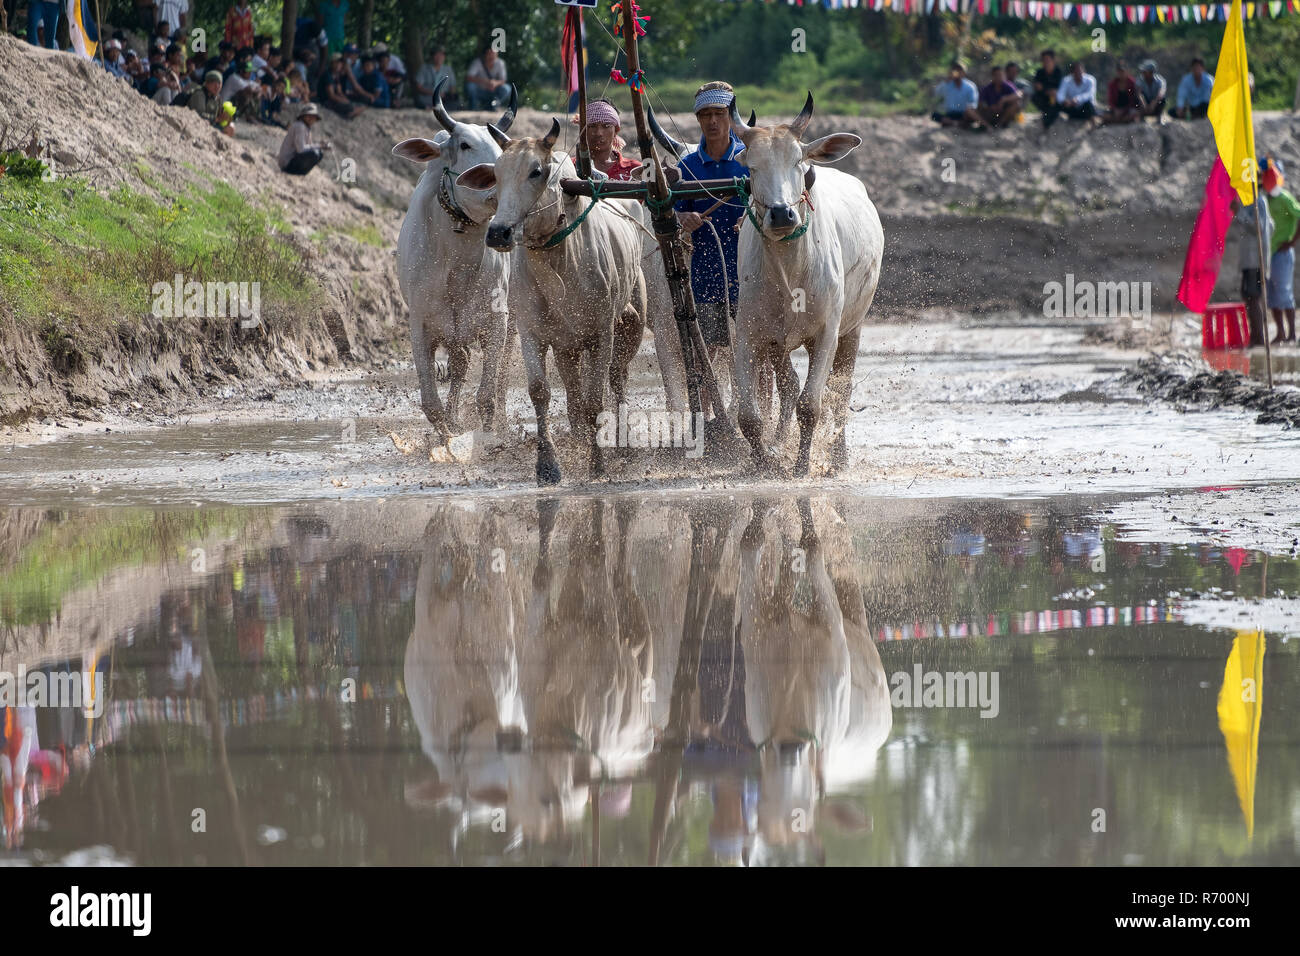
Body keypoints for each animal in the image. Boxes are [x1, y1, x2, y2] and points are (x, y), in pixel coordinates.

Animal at [392, 79, 517, 442]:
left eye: (501, 149)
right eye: (464, 144)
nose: (498, 184)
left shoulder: (497, 321)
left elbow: (487, 395)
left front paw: (490, 437)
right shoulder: (420, 325)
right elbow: (430, 403)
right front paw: (446, 435)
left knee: (500, 378)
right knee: (459, 365)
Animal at [457, 118, 647, 486]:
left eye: (536, 171)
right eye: (497, 174)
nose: (498, 232)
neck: (558, 260)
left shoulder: (601, 334)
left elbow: (594, 401)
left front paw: (597, 463)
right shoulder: (533, 333)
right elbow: (541, 393)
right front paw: (547, 465)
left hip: (630, 325)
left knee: (617, 379)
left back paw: (623, 443)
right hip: (567, 347)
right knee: (574, 395)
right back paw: (580, 438)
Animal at [726, 93, 884, 476]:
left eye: (798, 161)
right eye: (751, 167)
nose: (782, 213)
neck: (790, 270)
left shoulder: (827, 333)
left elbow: (811, 405)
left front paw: (801, 467)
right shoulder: (749, 334)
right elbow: (749, 416)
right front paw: (764, 462)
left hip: (852, 329)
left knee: (839, 396)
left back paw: (839, 459)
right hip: (779, 345)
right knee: (789, 388)